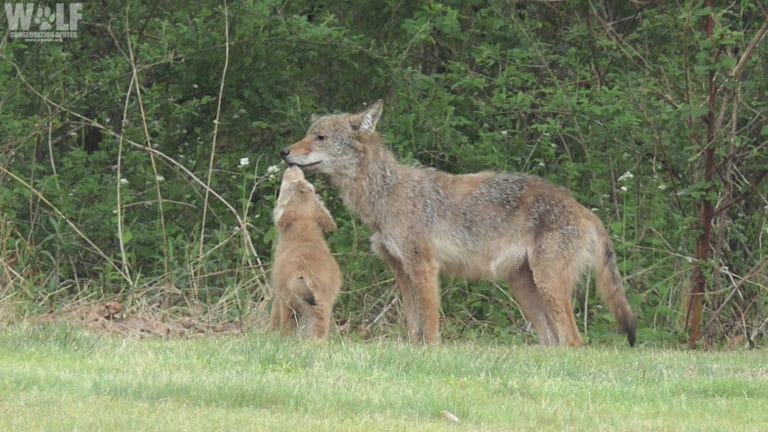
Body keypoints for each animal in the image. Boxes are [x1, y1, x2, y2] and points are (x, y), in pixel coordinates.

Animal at [270, 166, 342, 338]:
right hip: (323, 312)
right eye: (309, 185)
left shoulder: (277, 297)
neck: (303, 234)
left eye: (292, 184)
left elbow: (272, 323)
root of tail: (304, 272)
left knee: (285, 331)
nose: (293, 166)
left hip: (288, 307)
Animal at [280, 100, 636, 347]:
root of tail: (583, 209)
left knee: (573, 340)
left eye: (320, 137)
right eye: (308, 135)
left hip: (546, 284)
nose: (284, 151)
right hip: (525, 288)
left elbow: (430, 326)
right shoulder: (401, 273)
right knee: (554, 340)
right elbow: (413, 327)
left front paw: (431, 353)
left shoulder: (425, 268)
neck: (384, 196)